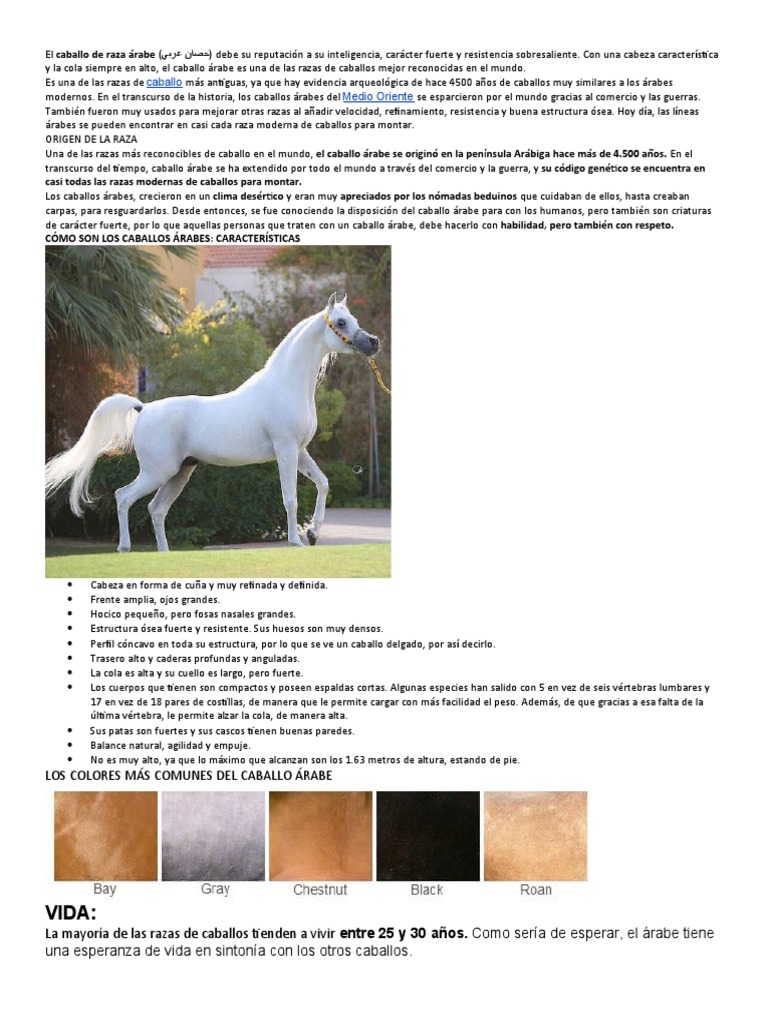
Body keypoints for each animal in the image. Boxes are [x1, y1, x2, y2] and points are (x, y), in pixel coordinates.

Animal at [45, 292, 380, 551]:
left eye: (354, 319)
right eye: (341, 322)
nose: (373, 342)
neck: (285, 385)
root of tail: (143, 408)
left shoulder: (300, 451)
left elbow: (323, 483)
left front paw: (312, 533)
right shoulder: (285, 451)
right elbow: (290, 498)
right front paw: (297, 541)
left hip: (179, 473)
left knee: (156, 509)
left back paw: (163, 554)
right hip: (157, 472)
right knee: (124, 497)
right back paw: (125, 548)